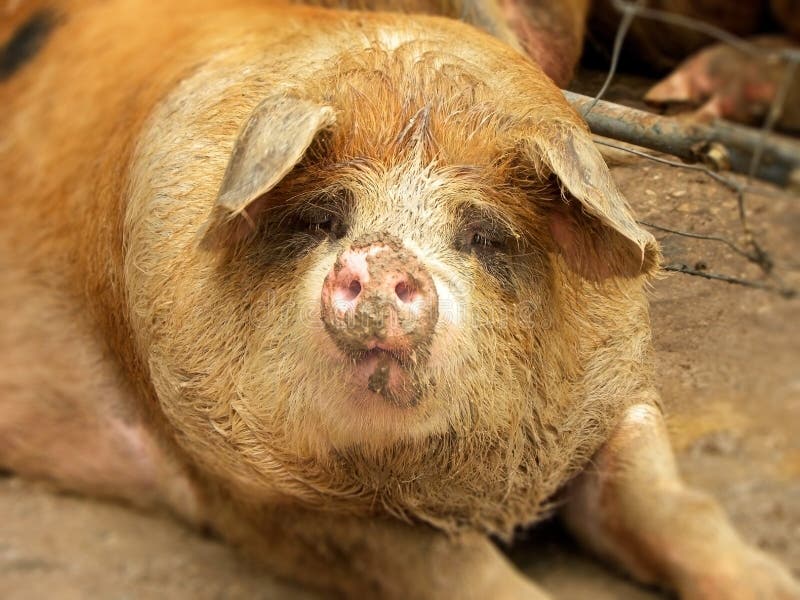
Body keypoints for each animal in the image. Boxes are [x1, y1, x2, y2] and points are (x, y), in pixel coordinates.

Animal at [0, 1, 798, 599]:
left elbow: (672, 505)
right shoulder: (246, 483)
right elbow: (456, 571)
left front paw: (770, 583)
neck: (459, 488)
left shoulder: (621, 394)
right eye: (322, 219)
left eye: (485, 233)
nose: (383, 259)